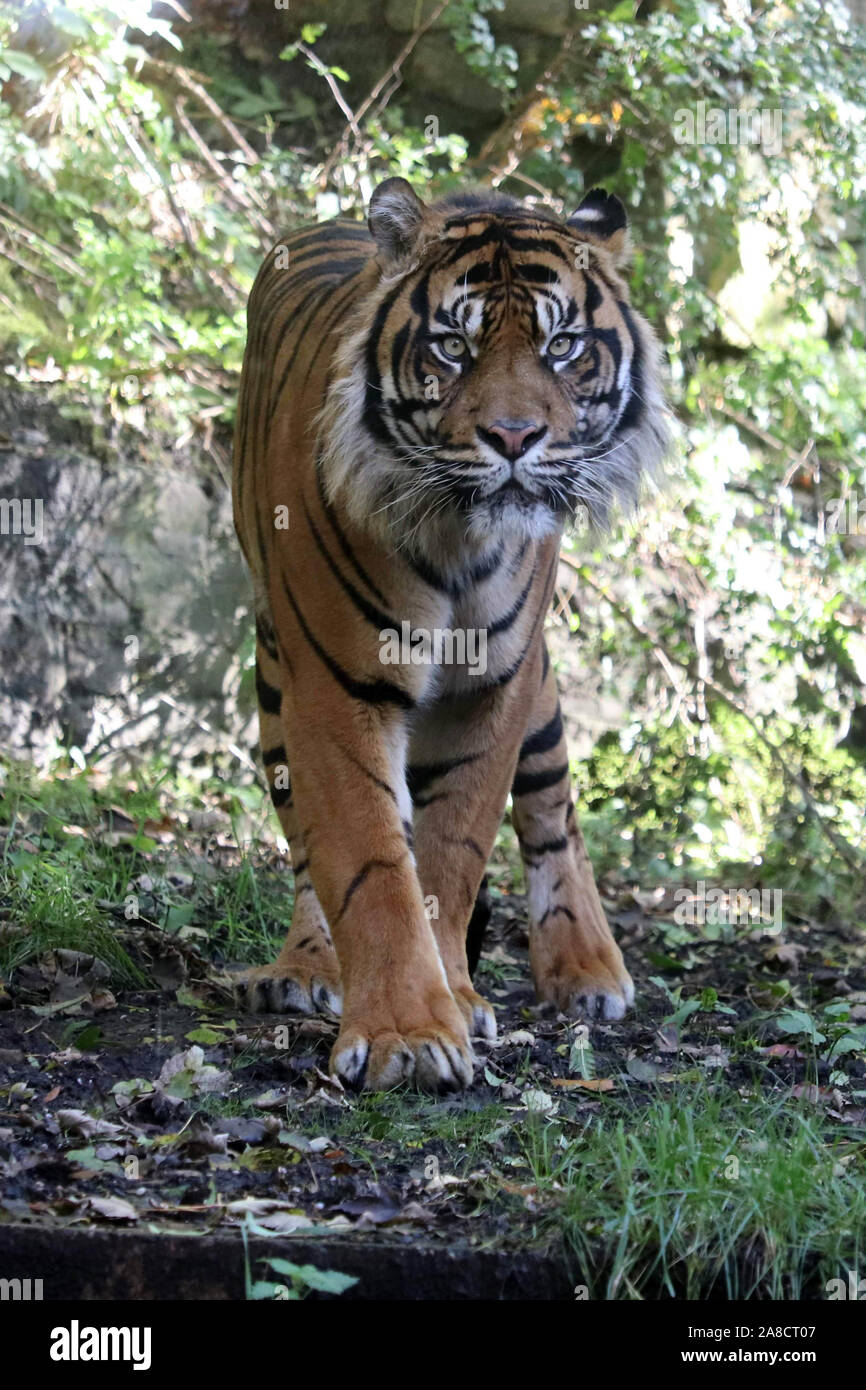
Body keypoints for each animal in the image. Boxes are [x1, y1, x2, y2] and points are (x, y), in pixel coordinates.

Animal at [231, 177, 668, 1092]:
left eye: (563, 345)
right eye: (453, 347)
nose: (513, 438)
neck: (461, 540)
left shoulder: (493, 695)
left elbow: (453, 854)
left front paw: (453, 1002)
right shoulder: (337, 689)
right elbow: (367, 860)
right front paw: (405, 1032)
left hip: (538, 691)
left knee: (555, 810)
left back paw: (587, 968)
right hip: (275, 679)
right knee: (307, 847)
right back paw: (307, 967)